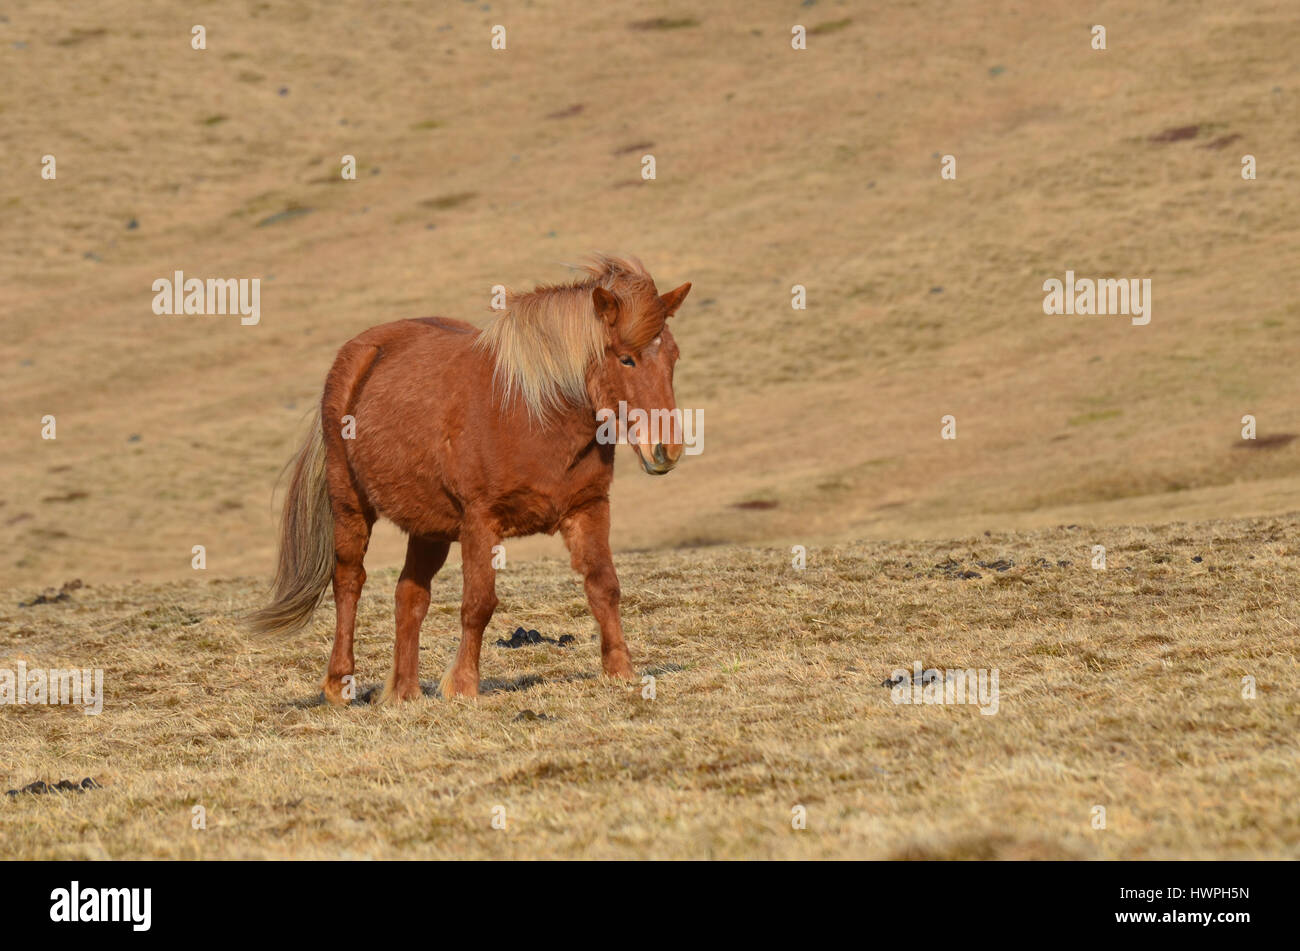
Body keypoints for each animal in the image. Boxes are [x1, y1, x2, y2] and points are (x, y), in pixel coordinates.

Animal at [248, 255, 692, 704]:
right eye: (626, 359)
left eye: (673, 357)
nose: (666, 452)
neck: (535, 411)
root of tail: (358, 353)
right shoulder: (481, 520)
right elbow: (478, 603)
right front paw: (462, 685)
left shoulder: (589, 509)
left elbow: (604, 586)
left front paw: (620, 669)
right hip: (350, 505)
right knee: (349, 583)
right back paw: (340, 683)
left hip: (429, 526)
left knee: (410, 595)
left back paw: (405, 691)